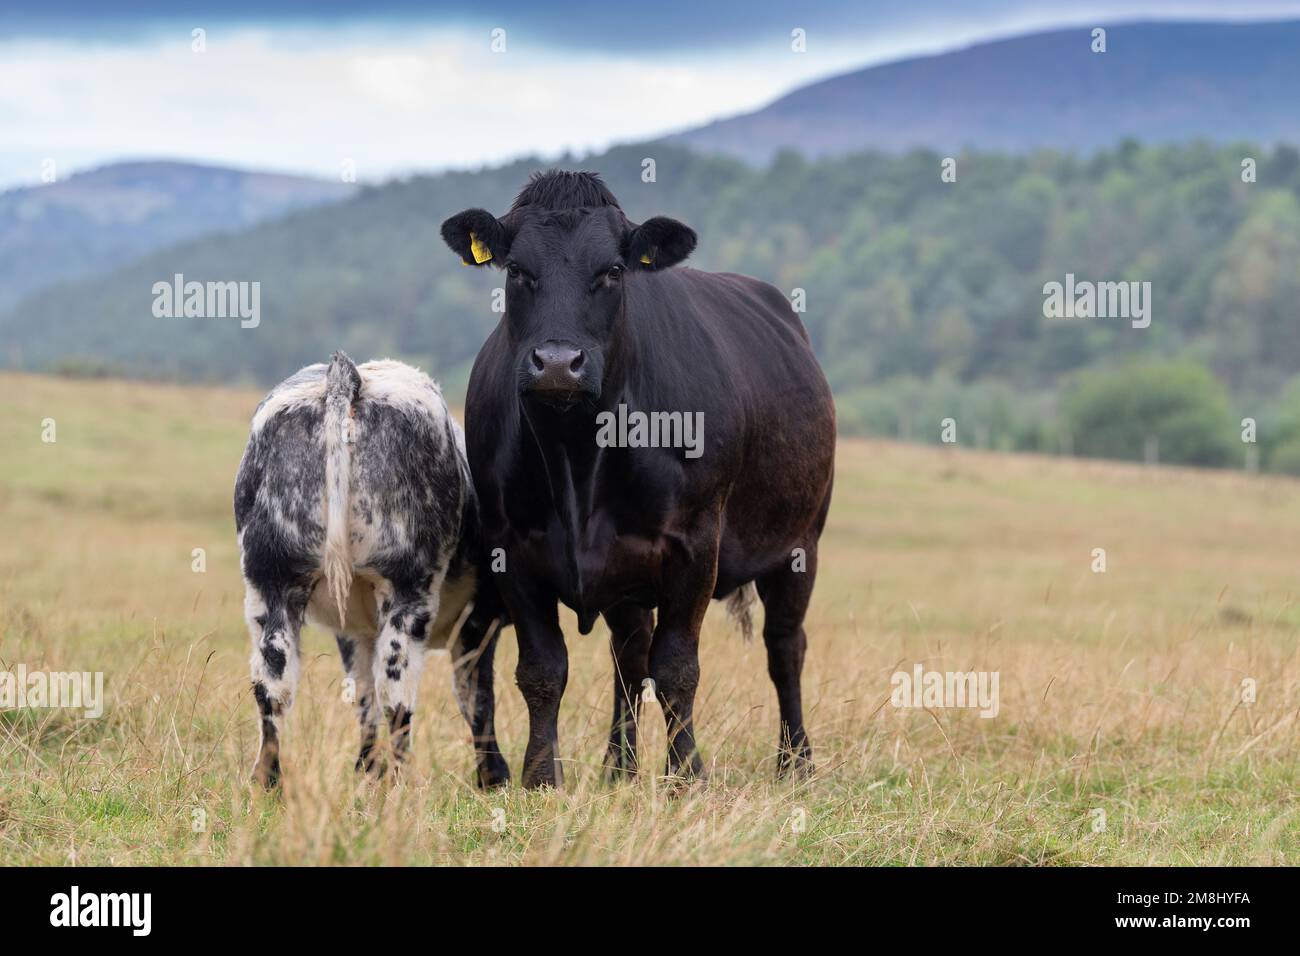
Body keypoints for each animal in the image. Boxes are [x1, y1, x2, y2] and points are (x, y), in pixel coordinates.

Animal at [234, 353, 509, 788]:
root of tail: (347, 377)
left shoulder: (354, 629)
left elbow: (362, 698)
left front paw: (365, 769)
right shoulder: (479, 621)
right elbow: (477, 699)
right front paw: (493, 776)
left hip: (268, 584)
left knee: (273, 686)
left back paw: (268, 782)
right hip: (407, 589)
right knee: (396, 692)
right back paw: (402, 784)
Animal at [441, 171, 836, 788]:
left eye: (612, 271)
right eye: (517, 270)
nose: (558, 363)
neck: (577, 456)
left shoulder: (695, 545)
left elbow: (677, 668)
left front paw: (686, 776)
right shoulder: (514, 550)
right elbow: (543, 669)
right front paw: (541, 778)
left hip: (800, 544)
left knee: (785, 647)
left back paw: (795, 762)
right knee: (628, 657)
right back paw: (619, 768)